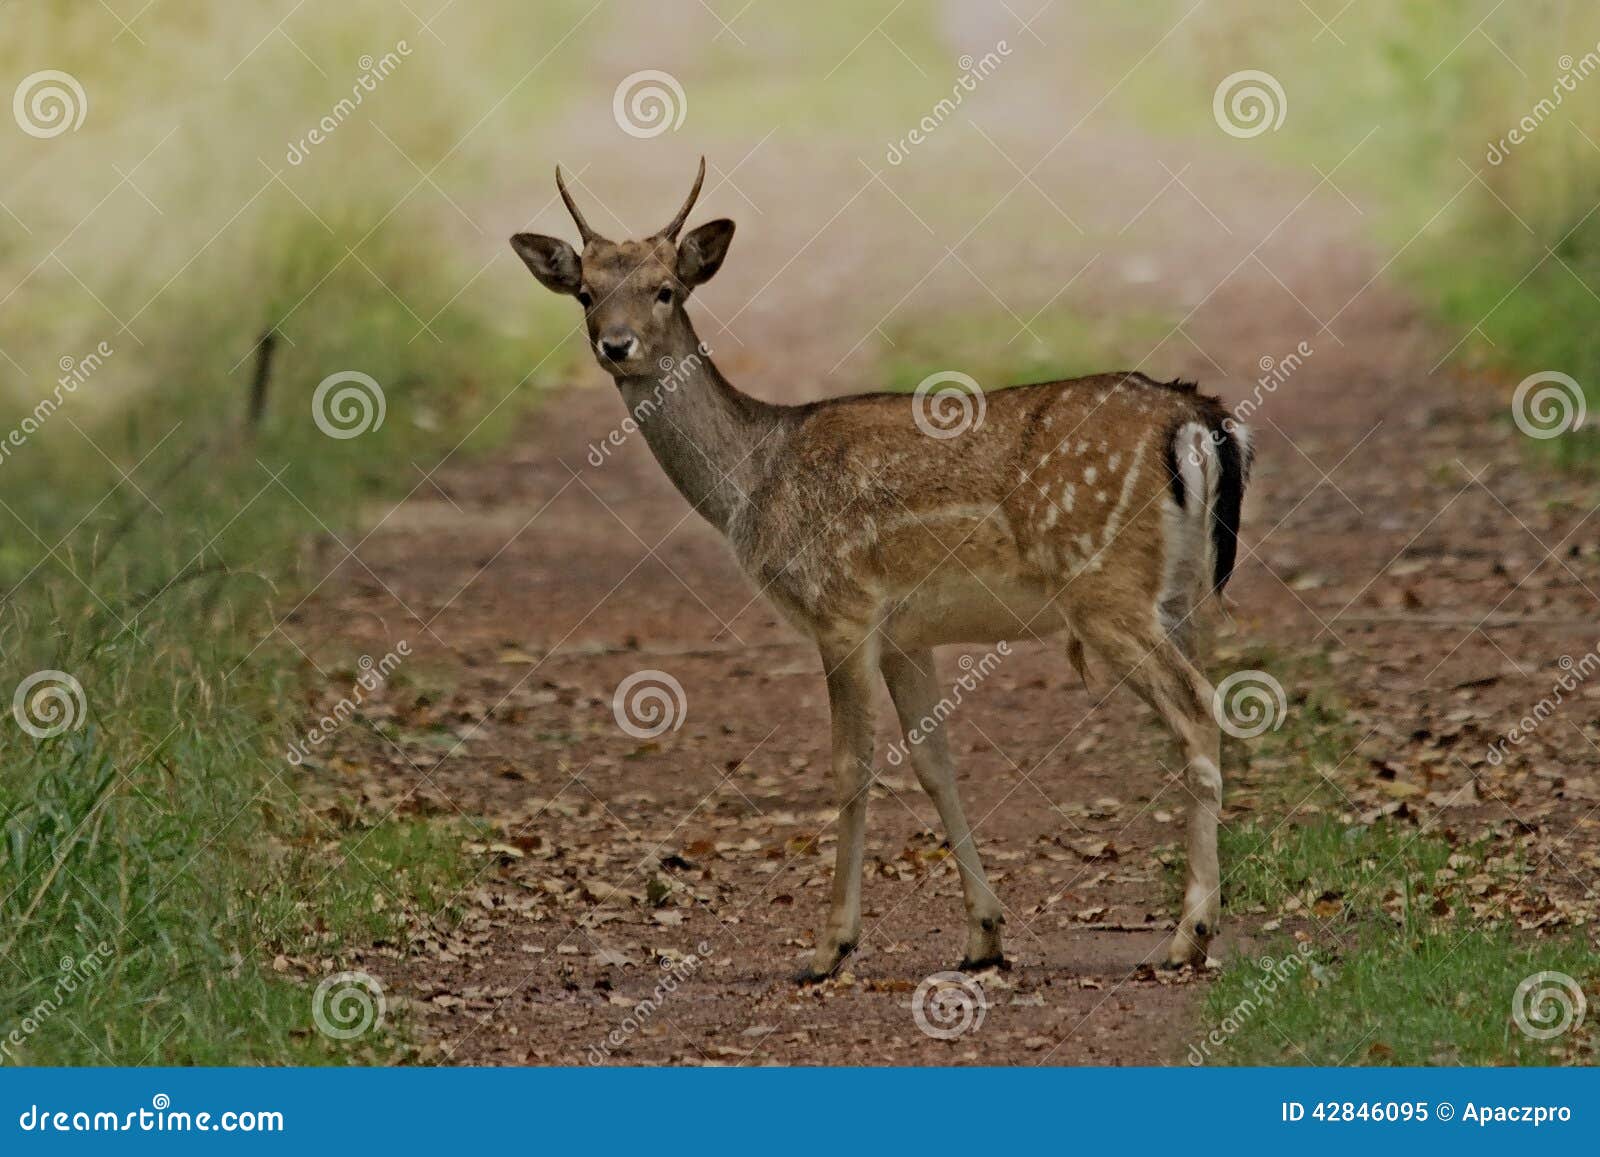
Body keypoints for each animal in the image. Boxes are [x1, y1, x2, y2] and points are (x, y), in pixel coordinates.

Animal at [511, 159, 1252, 981]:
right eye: (585, 291)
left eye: (666, 287)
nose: (616, 343)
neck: (752, 484)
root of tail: (1198, 422)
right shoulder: (905, 632)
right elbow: (935, 761)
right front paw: (983, 935)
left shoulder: (841, 608)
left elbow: (852, 764)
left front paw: (829, 943)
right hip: (1179, 596)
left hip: (1106, 589)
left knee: (1199, 710)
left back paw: (1190, 933)